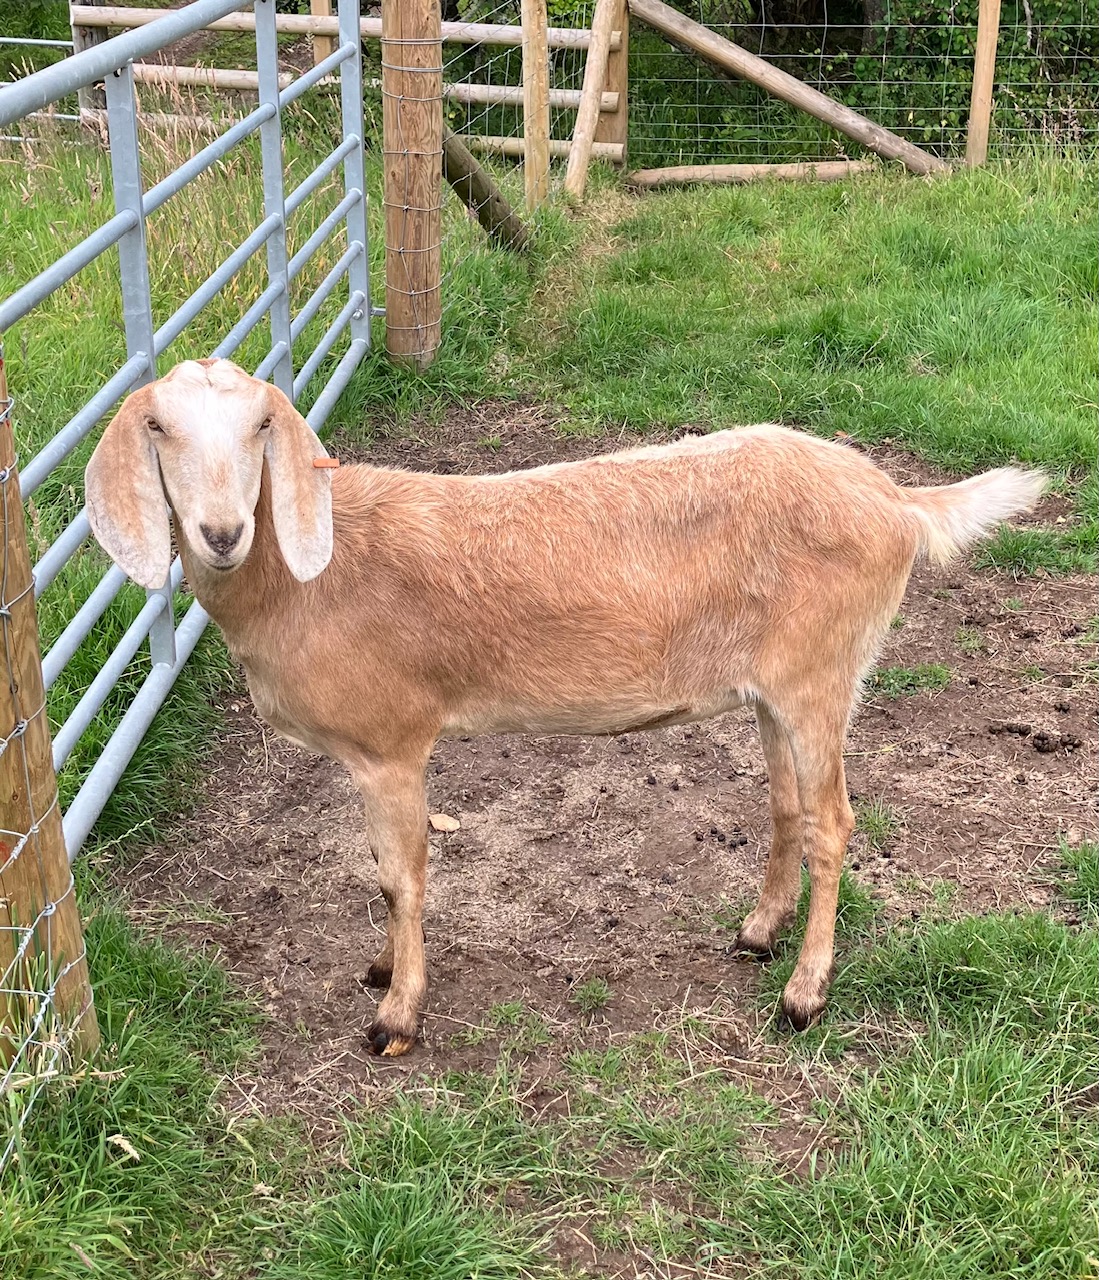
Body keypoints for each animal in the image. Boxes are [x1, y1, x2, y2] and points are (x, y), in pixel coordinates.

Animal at [85, 358, 1046, 1055]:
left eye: (261, 426)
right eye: (159, 427)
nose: (221, 533)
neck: (306, 574)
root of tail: (896, 501)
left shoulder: (392, 745)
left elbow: (401, 878)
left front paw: (397, 1018)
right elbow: (382, 875)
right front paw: (381, 969)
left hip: (823, 673)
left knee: (836, 821)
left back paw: (803, 994)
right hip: (775, 689)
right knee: (790, 807)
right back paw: (756, 932)